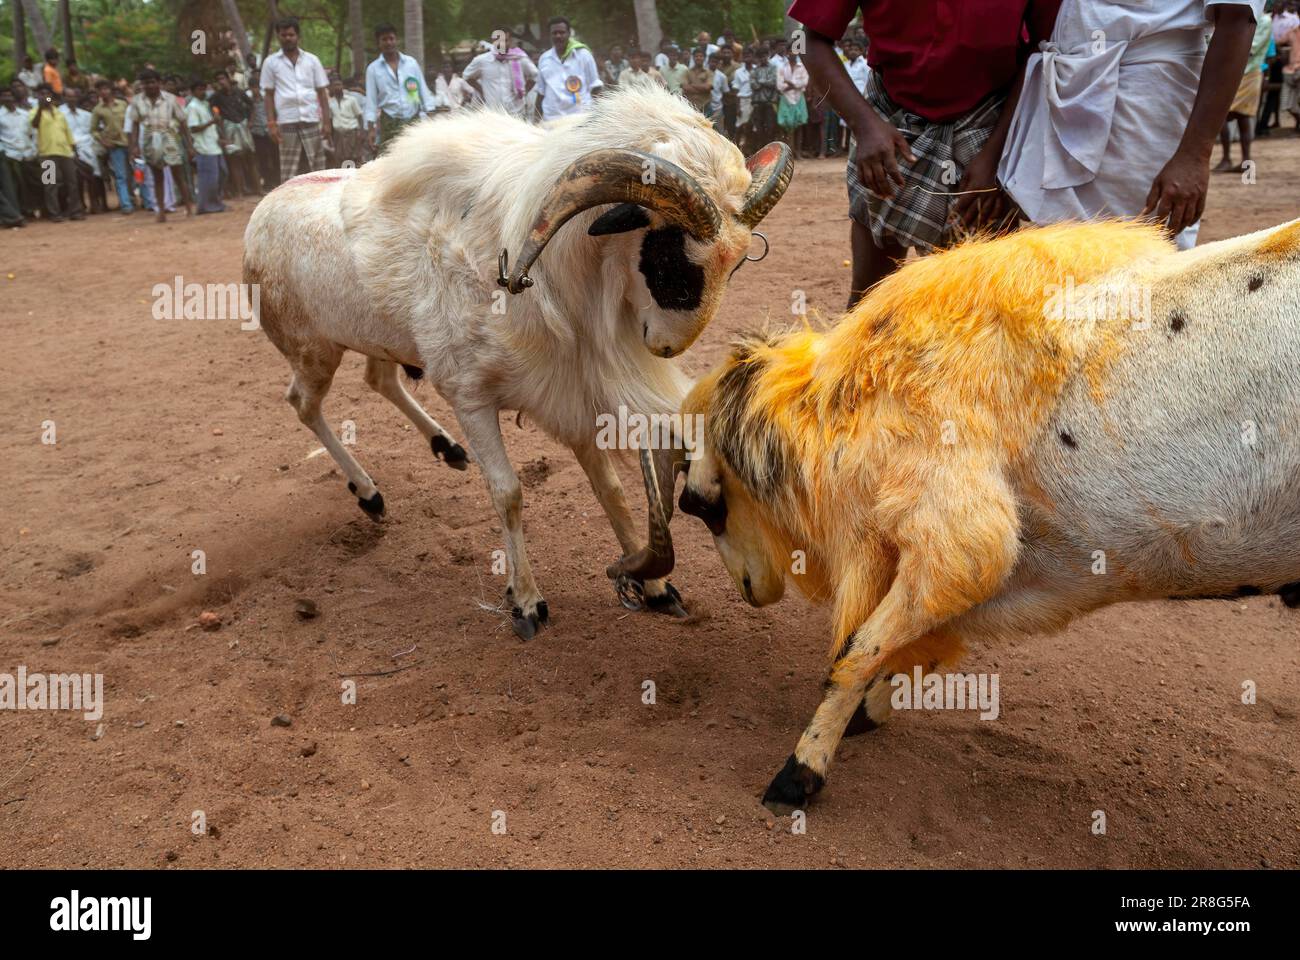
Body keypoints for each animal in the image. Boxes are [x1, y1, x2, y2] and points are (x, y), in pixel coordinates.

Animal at [242, 81, 791, 638]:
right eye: (666, 258)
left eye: (737, 265)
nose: (666, 348)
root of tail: (262, 211)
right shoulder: (470, 397)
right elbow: (508, 493)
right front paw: (526, 602)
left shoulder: (569, 391)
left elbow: (611, 489)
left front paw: (656, 588)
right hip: (312, 350)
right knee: (304, 404)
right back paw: (368, 492)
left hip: (382, 340)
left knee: (379, 379)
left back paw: (445, 449)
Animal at [612, 218, 1300, 811]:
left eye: (701, 505)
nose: (751, 589)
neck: (849, 404)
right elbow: (895, 652)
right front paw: (863, 717)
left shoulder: (960, 544)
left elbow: (855, 652)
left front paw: (798, 774)